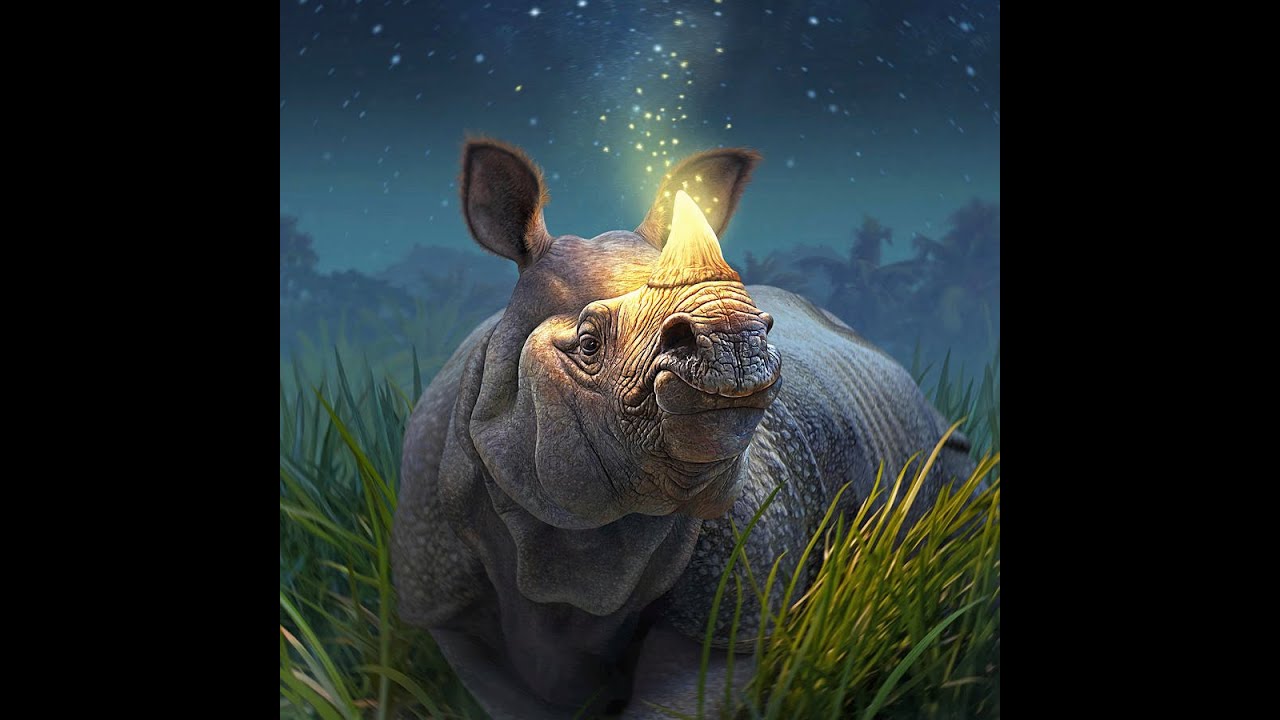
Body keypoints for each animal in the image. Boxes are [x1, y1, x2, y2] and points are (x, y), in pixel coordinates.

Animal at [391, 138, 975, 719]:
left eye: (764, 327)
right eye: (588, 343)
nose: (736, 338)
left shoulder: (730, 622)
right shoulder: (444, 602)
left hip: (945, 449)